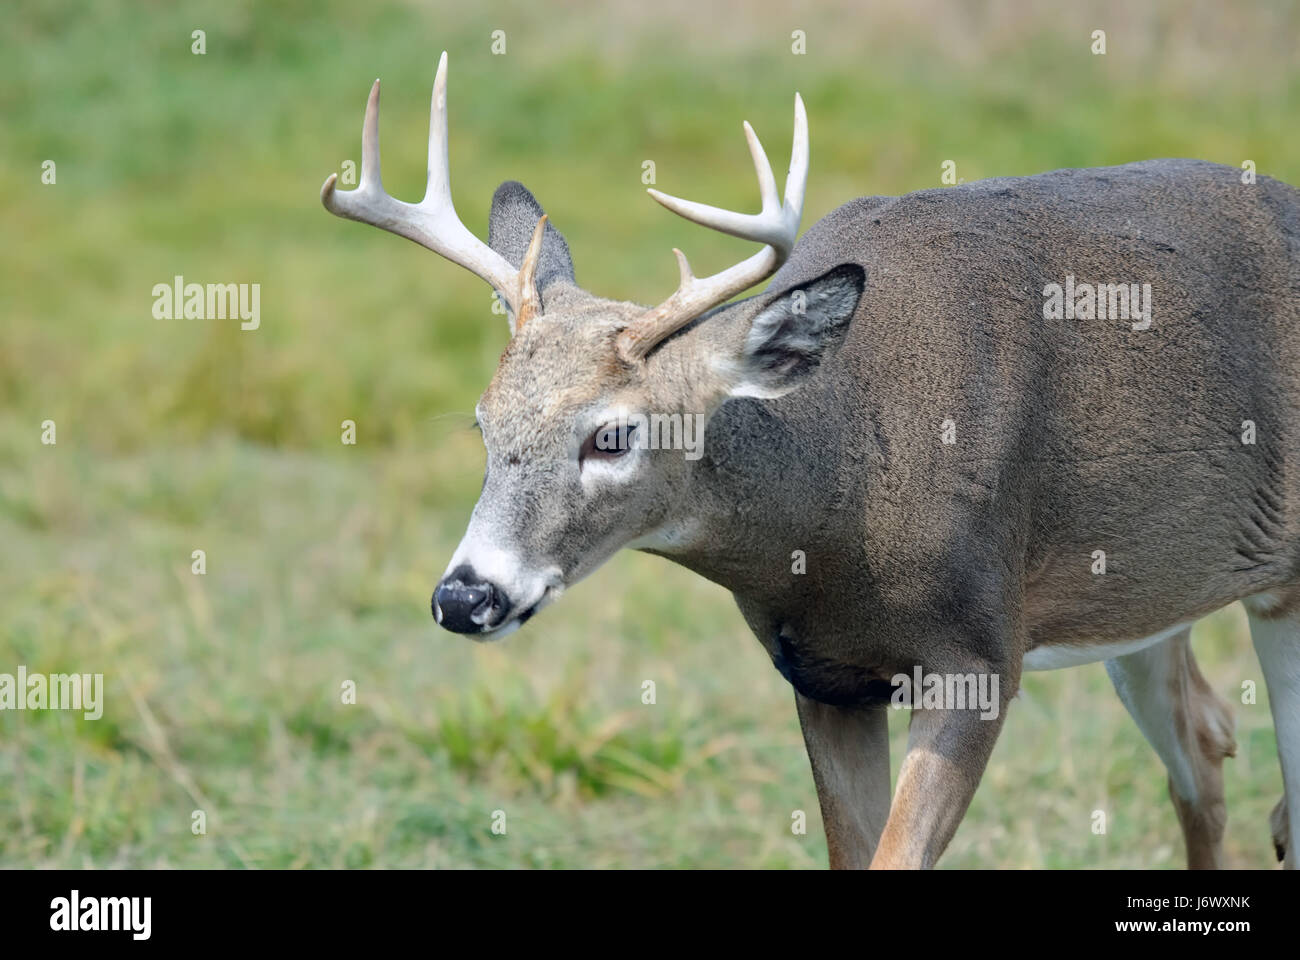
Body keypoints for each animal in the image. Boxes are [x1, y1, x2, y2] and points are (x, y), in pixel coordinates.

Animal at [320, 52, 1300, 869]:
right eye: (484, 423)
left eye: (612, 435)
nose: (465, 597)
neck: (838, 504)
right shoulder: (824, 676)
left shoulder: (981, 653)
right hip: (1146, 590)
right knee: (1210, 738)